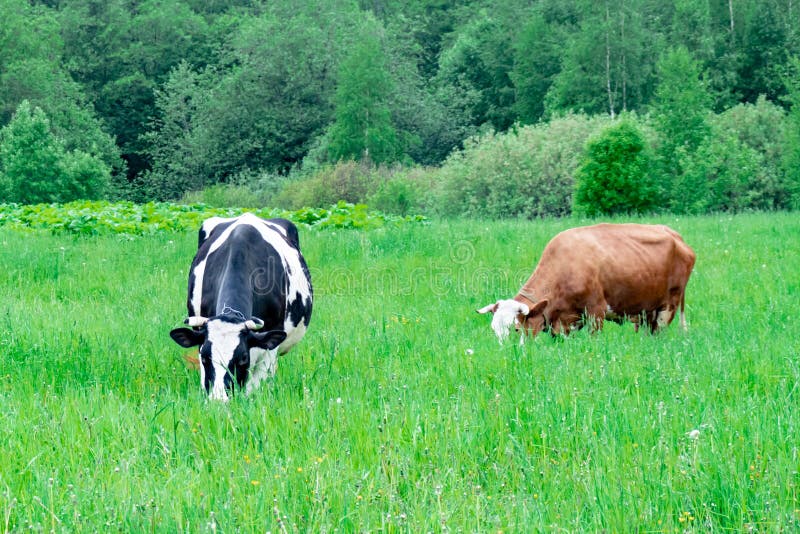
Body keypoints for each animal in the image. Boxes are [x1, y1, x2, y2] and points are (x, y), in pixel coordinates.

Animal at [477, 223, 695, 343]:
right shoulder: (564, 322)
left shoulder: (596, 311)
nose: (506, 353)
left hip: (669, 305)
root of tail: (674, 235)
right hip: (646, 310)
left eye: (515, 329)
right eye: (494, 330)